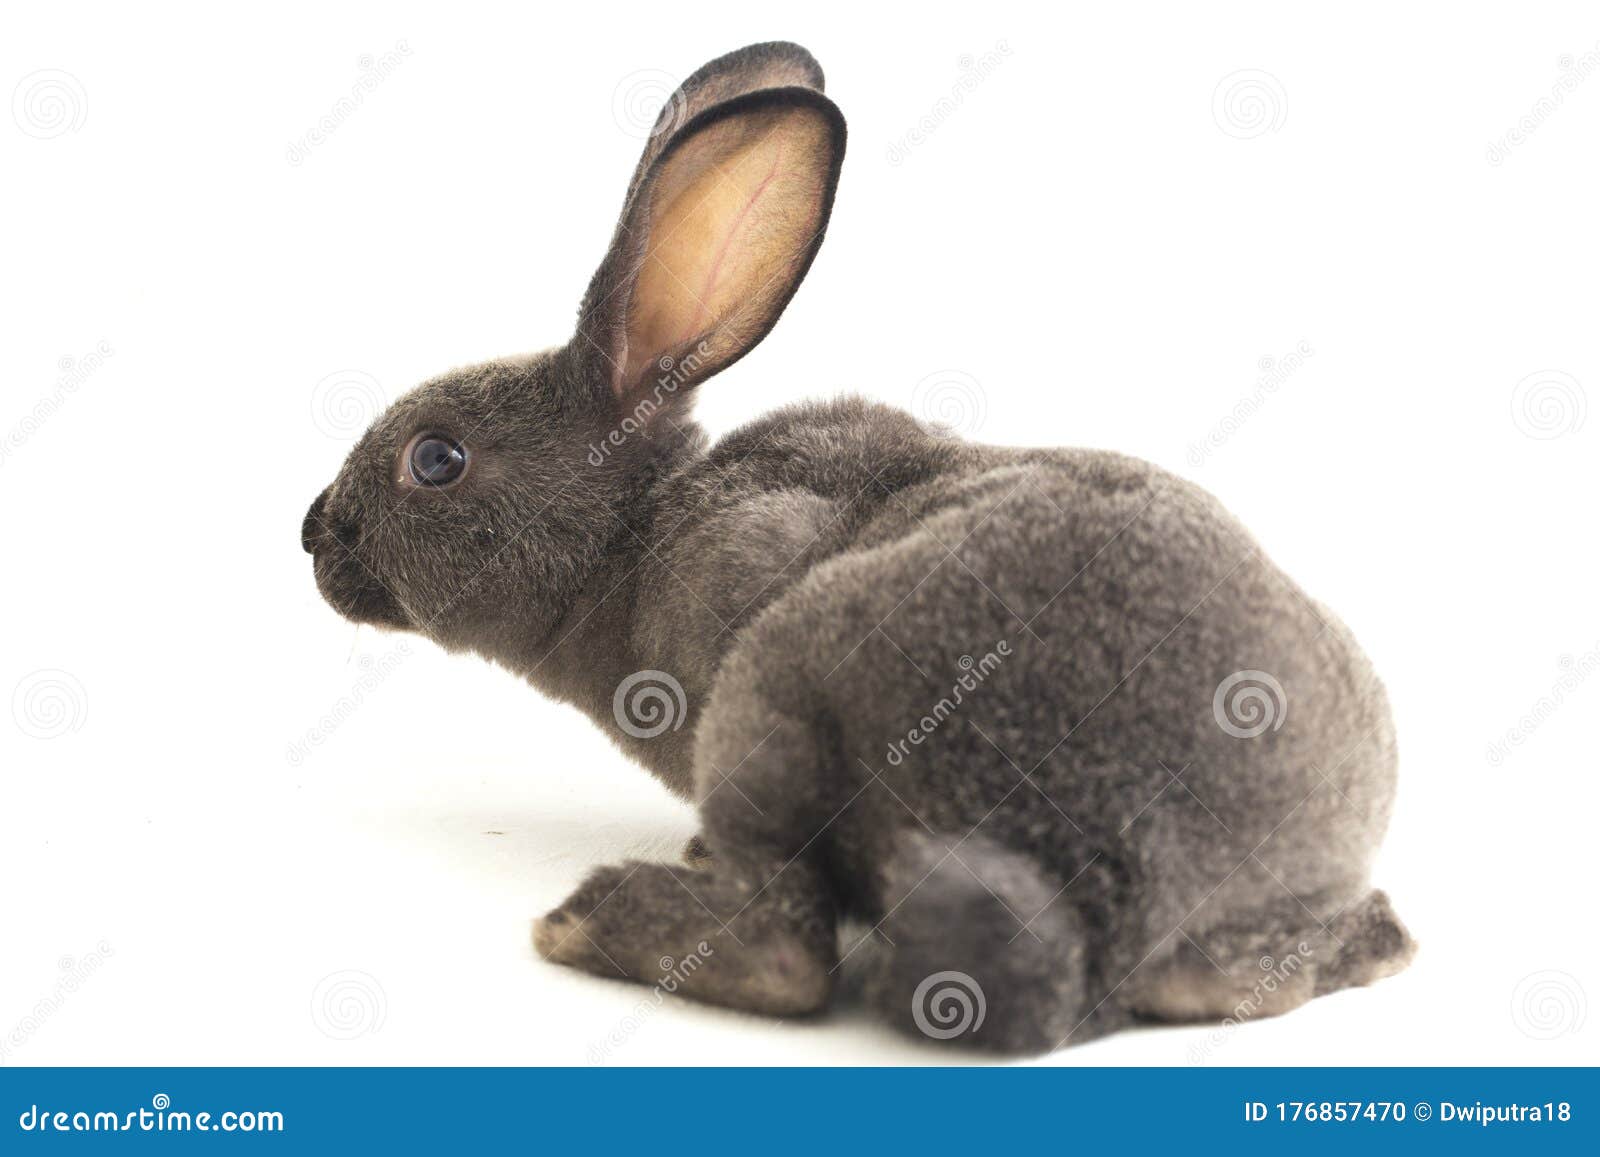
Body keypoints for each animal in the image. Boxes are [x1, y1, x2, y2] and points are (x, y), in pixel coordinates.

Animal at [301, 41, 1413, 1052]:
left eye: (435, 458)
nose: (312, 532)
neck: (639, 530)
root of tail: (1117, 878)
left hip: (768, 703)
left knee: (789, 955)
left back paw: (588, 920)